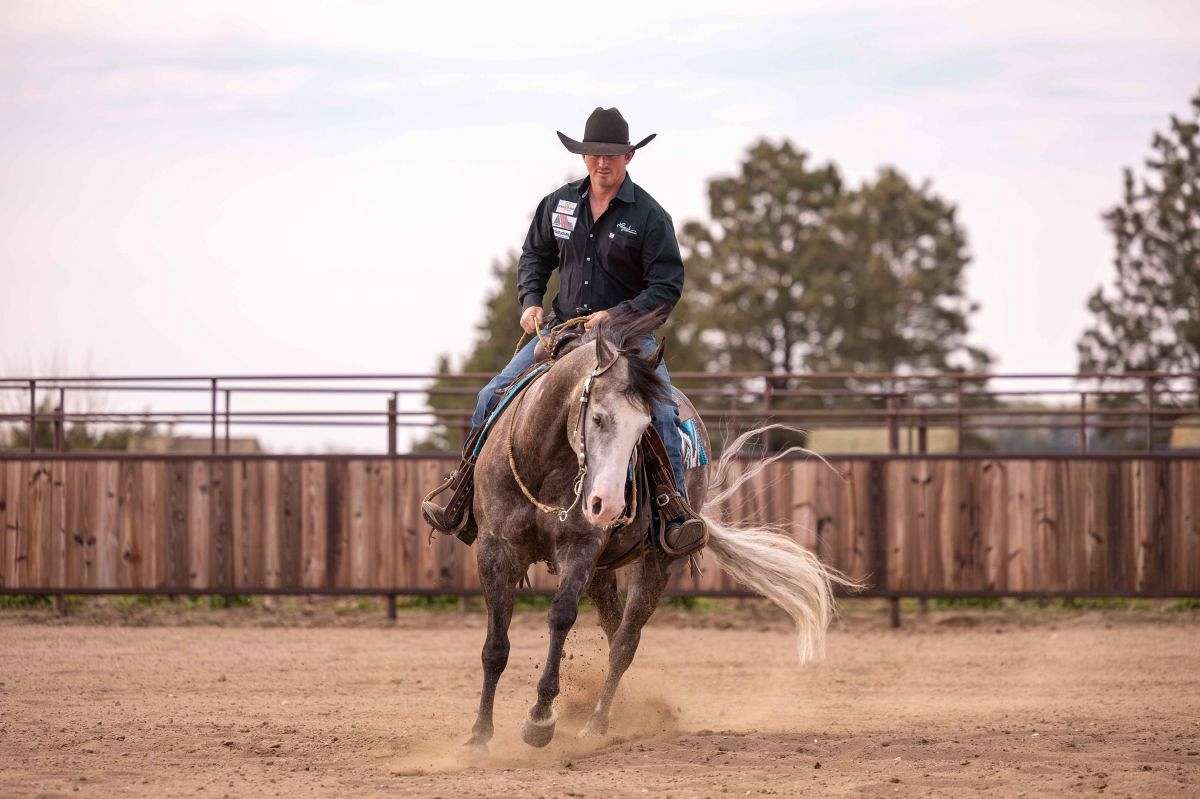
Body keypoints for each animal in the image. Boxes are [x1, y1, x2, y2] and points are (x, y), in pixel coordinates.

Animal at [465, 315, 848, 749]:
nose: (607, 504)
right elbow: (496, 644)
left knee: (625, 642)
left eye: (644, 429)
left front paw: (540, 719)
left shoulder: (580, 548)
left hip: (656, 562)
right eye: (597, 418)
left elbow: (561, 617)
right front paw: (480, 733)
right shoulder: (495, 550)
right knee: (614, 629)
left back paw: (598, 722)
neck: (545, 465)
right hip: (601, 571)